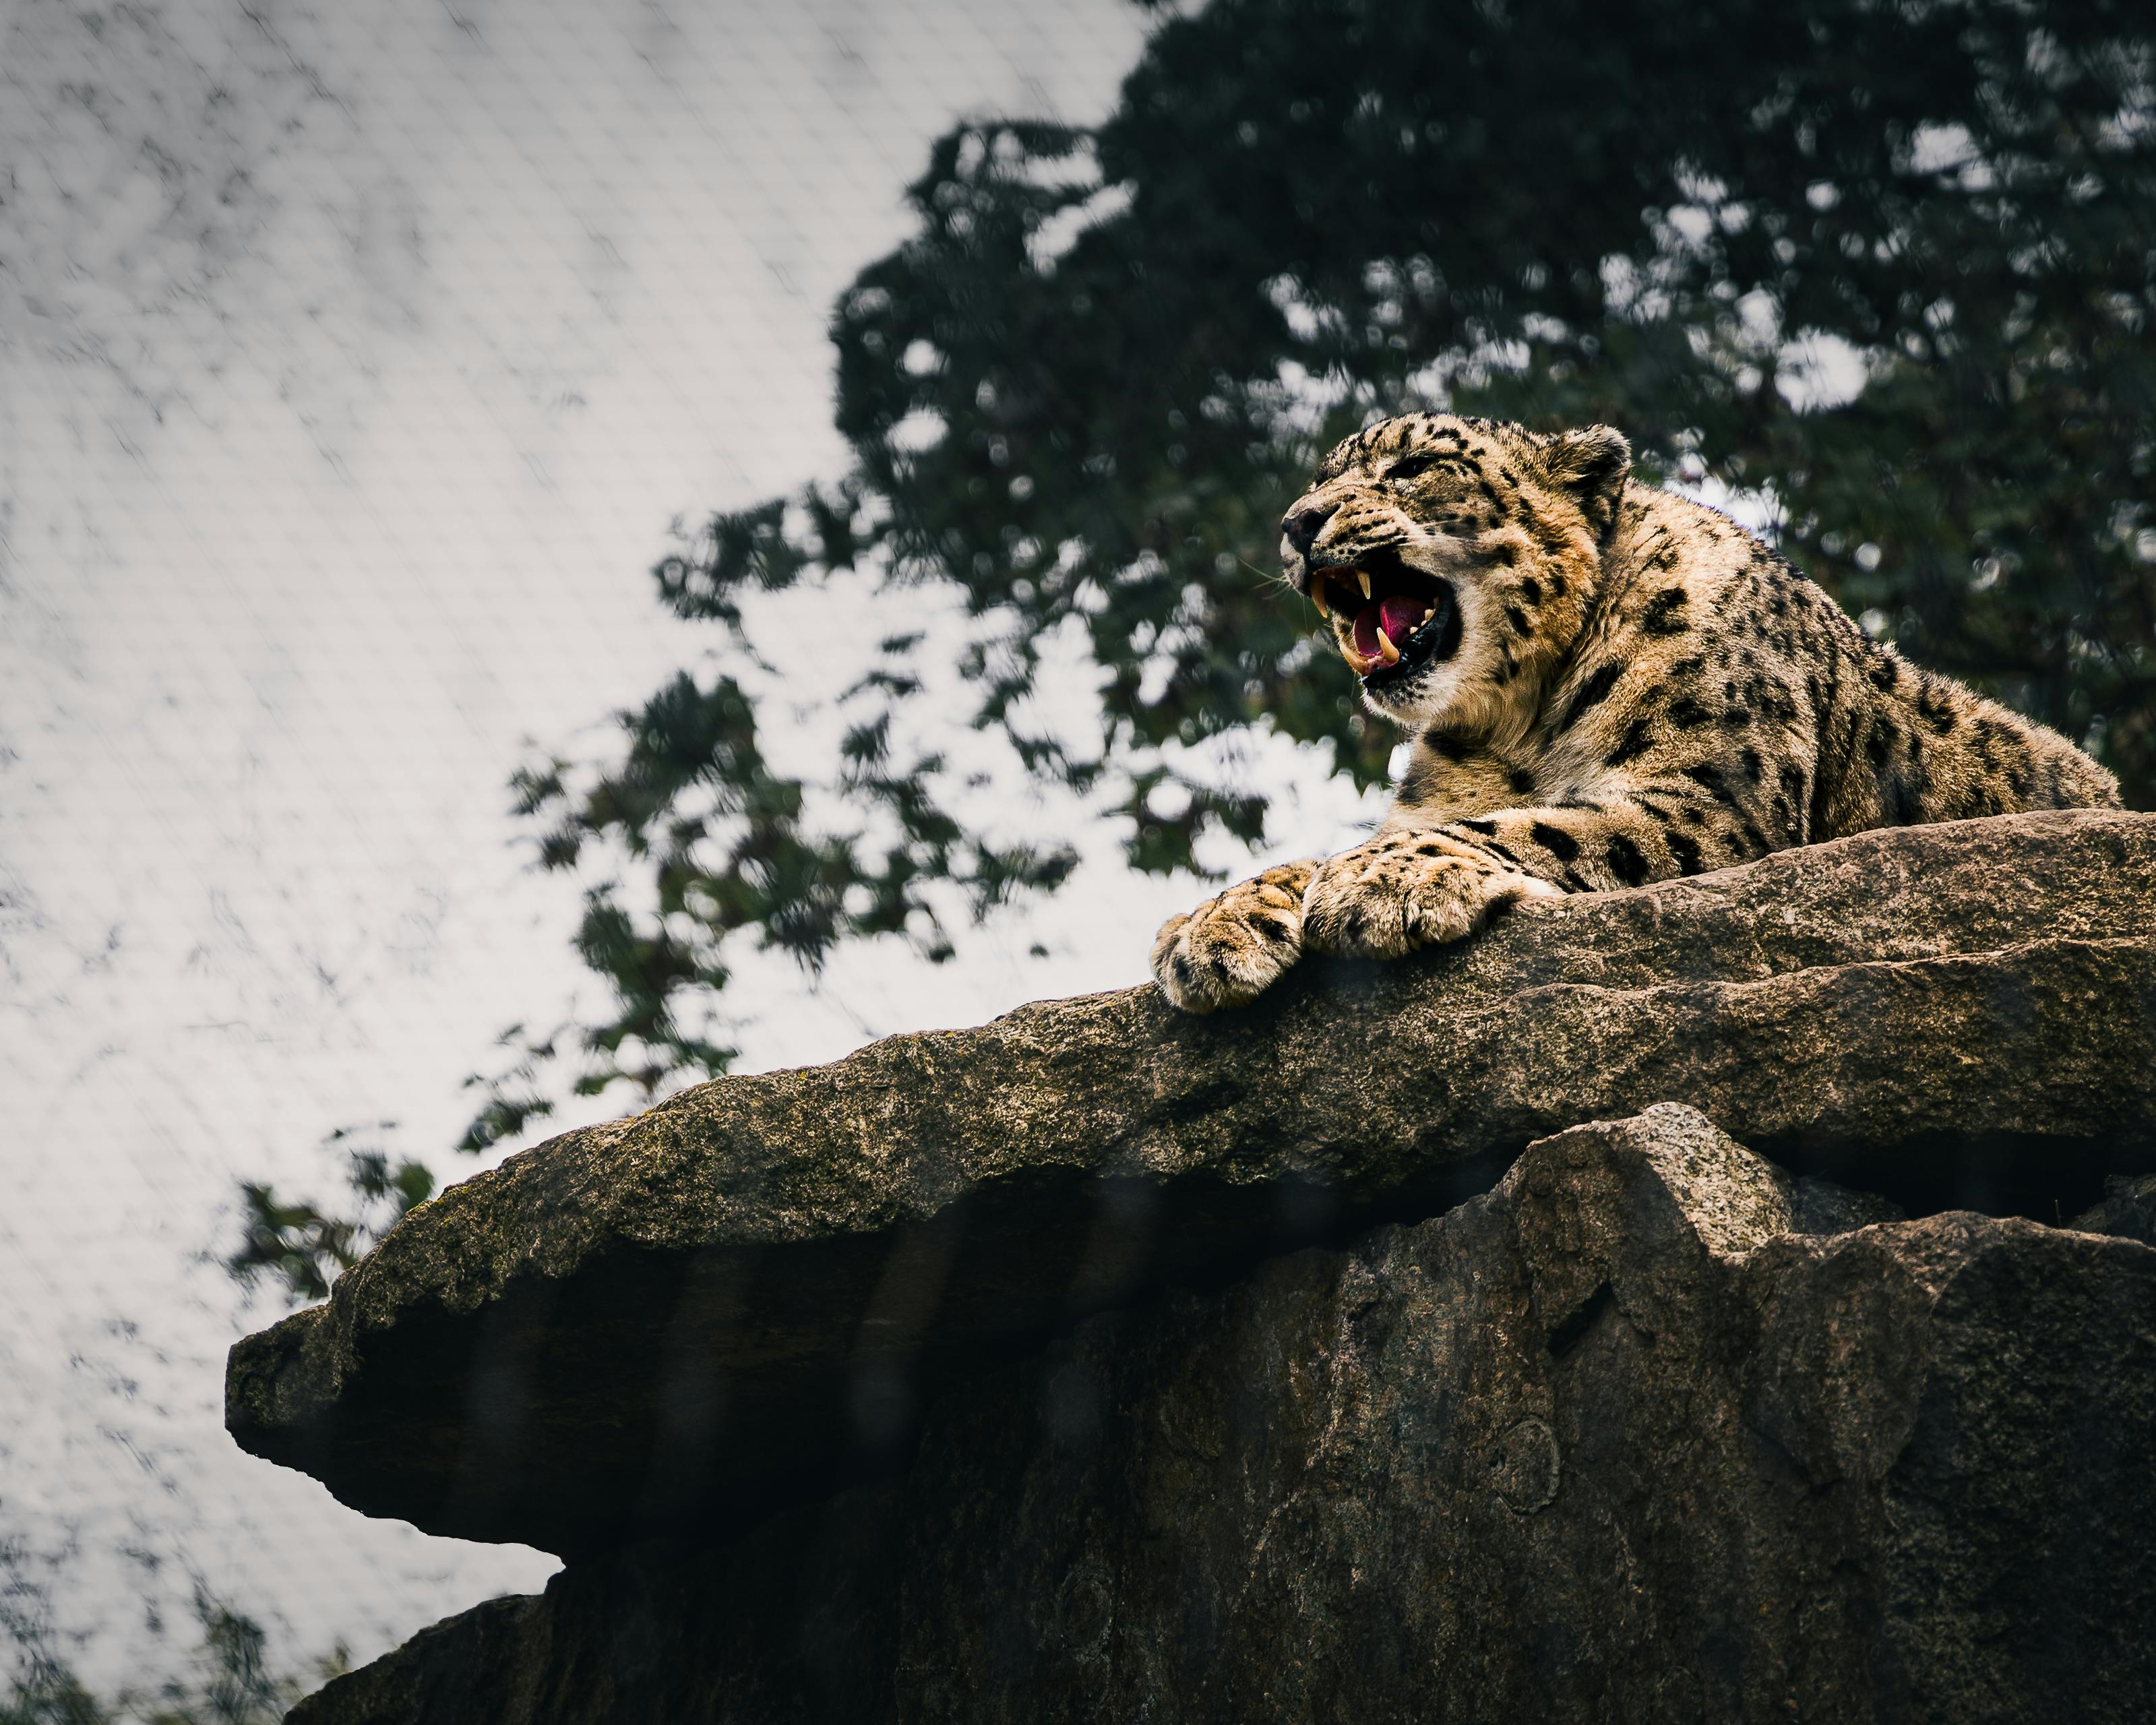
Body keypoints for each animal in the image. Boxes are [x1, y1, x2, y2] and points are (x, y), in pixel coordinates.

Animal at [1152, 412, 2122, 1013]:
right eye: (1319, 480)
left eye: (1415, 467)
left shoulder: (1708, 797)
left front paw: (1379, 883)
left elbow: (1541, 825)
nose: (1296, 522)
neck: (1519, 720)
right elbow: (1318, 854)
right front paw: (1209, 927)